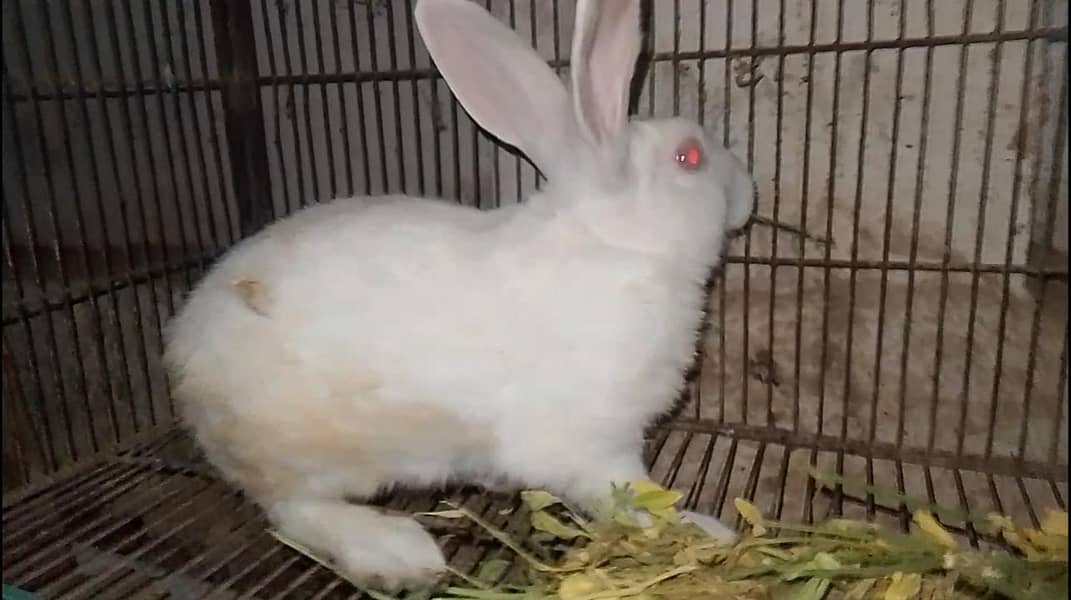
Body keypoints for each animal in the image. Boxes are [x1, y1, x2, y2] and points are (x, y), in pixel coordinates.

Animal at [162, 0, 755, 591]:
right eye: (690, 157)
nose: (750, 189)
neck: (617, 244)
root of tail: (183, 354)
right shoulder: (595, 443)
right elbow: (635, 496)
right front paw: (703, 531)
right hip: (309, 453)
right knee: (293, 509)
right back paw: (398, 553)